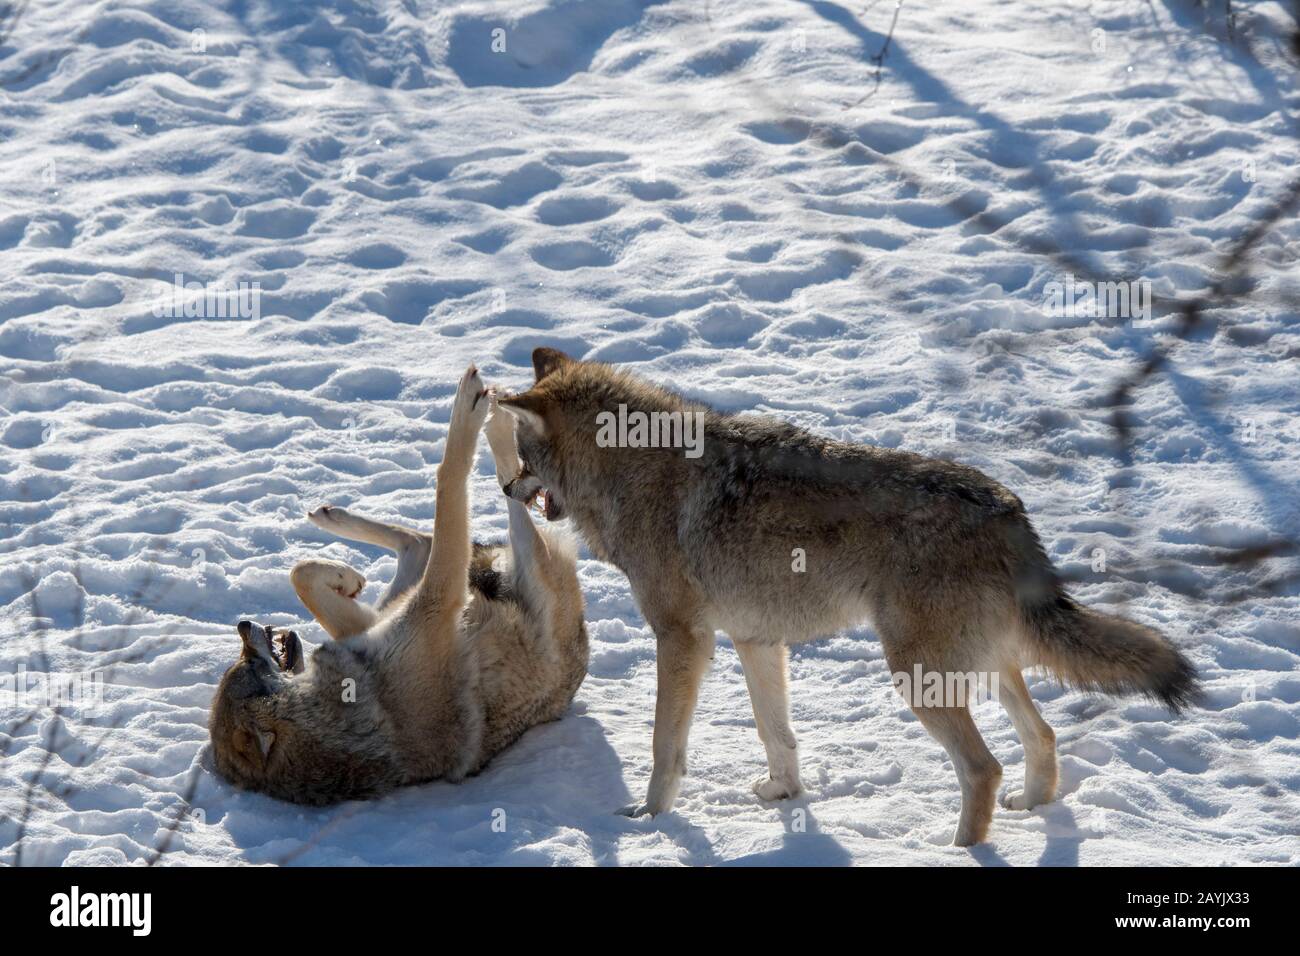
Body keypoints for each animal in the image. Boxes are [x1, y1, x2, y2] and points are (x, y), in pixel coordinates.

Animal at [209, 366, 588, 805]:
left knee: (418, 540)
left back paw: (332, 517)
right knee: (506, 491)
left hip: (394, 602)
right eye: (246, 665)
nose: (242, 625)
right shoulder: (438, 600)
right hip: (528, 558)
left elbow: (300, 574)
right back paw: (493, 416)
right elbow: (448, 478)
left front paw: (343, 575)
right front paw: (469, 408)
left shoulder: (378, 624)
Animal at [497, 348, 1199, 845]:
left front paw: (648, 820)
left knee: (984, 768)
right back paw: (1031, 805)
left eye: (522, 454)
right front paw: (784, 797)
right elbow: (776, 732)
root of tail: (1009, 508)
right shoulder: (755, 639)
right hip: (985, 667)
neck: (630, 473)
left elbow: (664, 746)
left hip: (918, 676)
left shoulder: (682, 640)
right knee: (1044, 736)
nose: (505, 490)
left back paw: (958, 850)